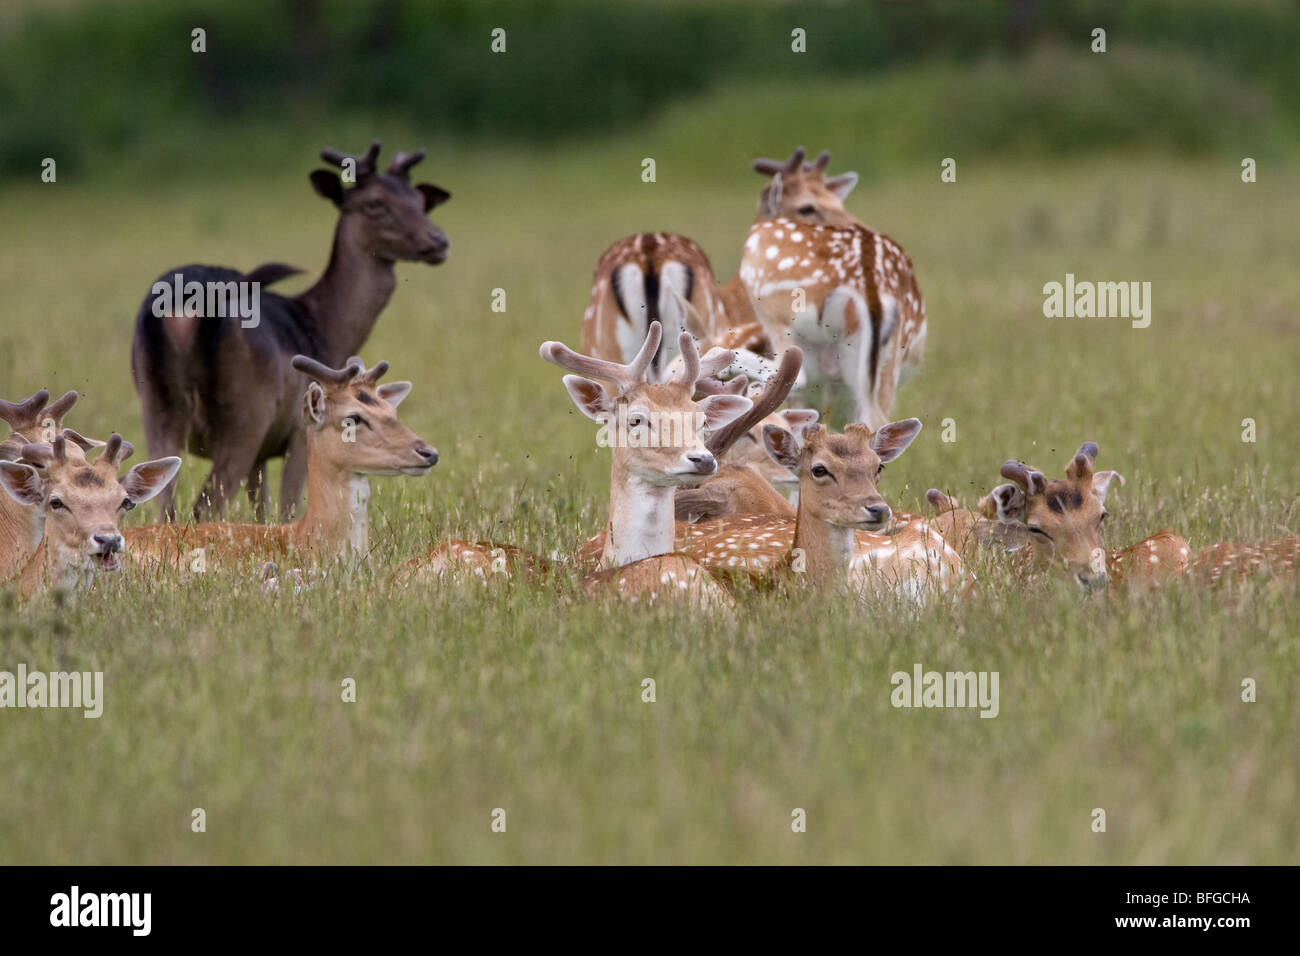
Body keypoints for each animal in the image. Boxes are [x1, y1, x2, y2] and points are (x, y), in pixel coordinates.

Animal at [131, 140, 451, 523]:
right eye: (374, 203)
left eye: (419, 201)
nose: (439, 240)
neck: (325, 329)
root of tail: (185, 309)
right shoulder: (299, 431)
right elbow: (288, 508)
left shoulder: (262, 454)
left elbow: (262, 510)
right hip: (245, 414)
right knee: (205, 506)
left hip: (156, 406)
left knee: (164, 506)